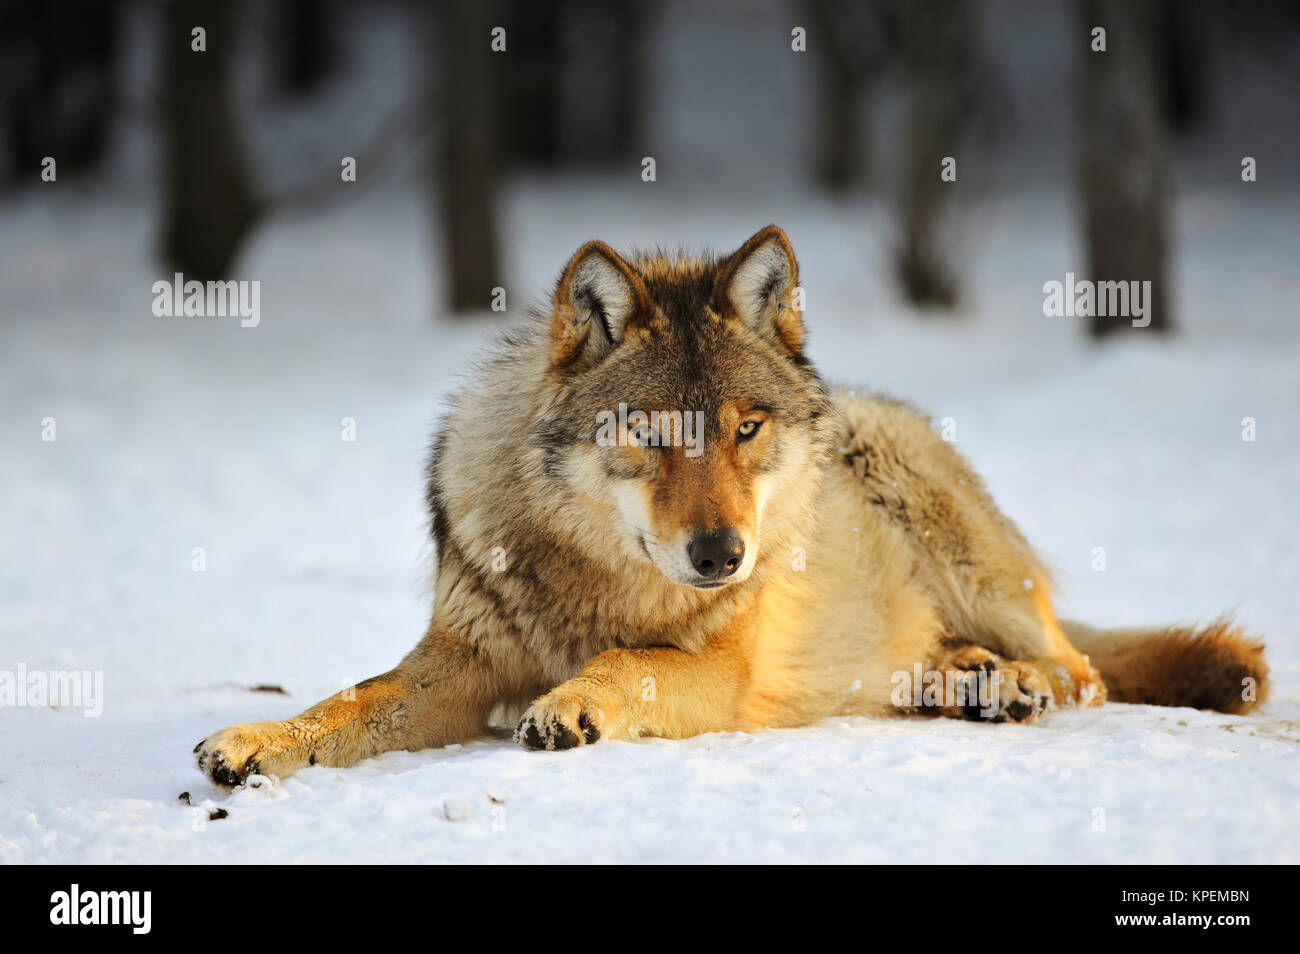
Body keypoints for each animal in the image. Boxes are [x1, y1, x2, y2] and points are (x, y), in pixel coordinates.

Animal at [195, 225, 1268, 786]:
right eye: (651, 431)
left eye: (745, 429)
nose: (723, 557)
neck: (597, 580)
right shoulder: (457, 662)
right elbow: (351, 699)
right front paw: (254, 742)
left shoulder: (723, 669)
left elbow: (630, 663)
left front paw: (573, 702)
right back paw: (964, 678)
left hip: (938, 518)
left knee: (1082, 670)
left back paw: (1010, 683)